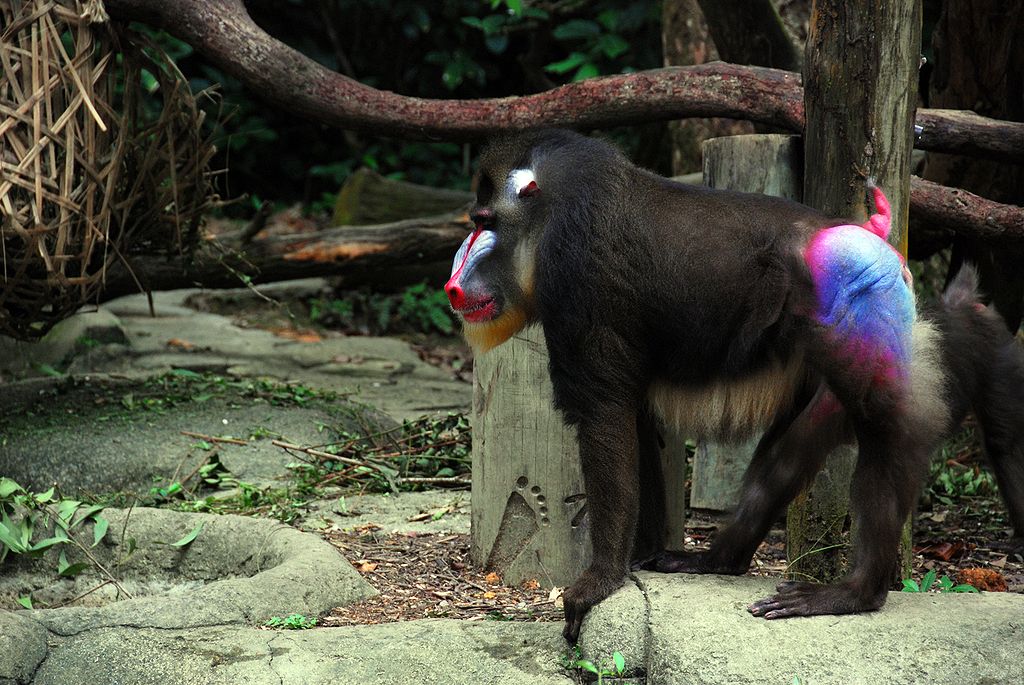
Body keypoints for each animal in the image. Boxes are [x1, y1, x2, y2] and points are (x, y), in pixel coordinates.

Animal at [444, 128, 1021, 643]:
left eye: (485, 223)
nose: (452, 284)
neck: (551, 216)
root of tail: (869, 236)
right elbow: (637, 430)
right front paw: (640, 557)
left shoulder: (579, 291)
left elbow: (606, 418)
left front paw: (598, 582)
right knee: (792, 450)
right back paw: (717, 559)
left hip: (863, 319)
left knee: (890, 431)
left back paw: (853, 593)